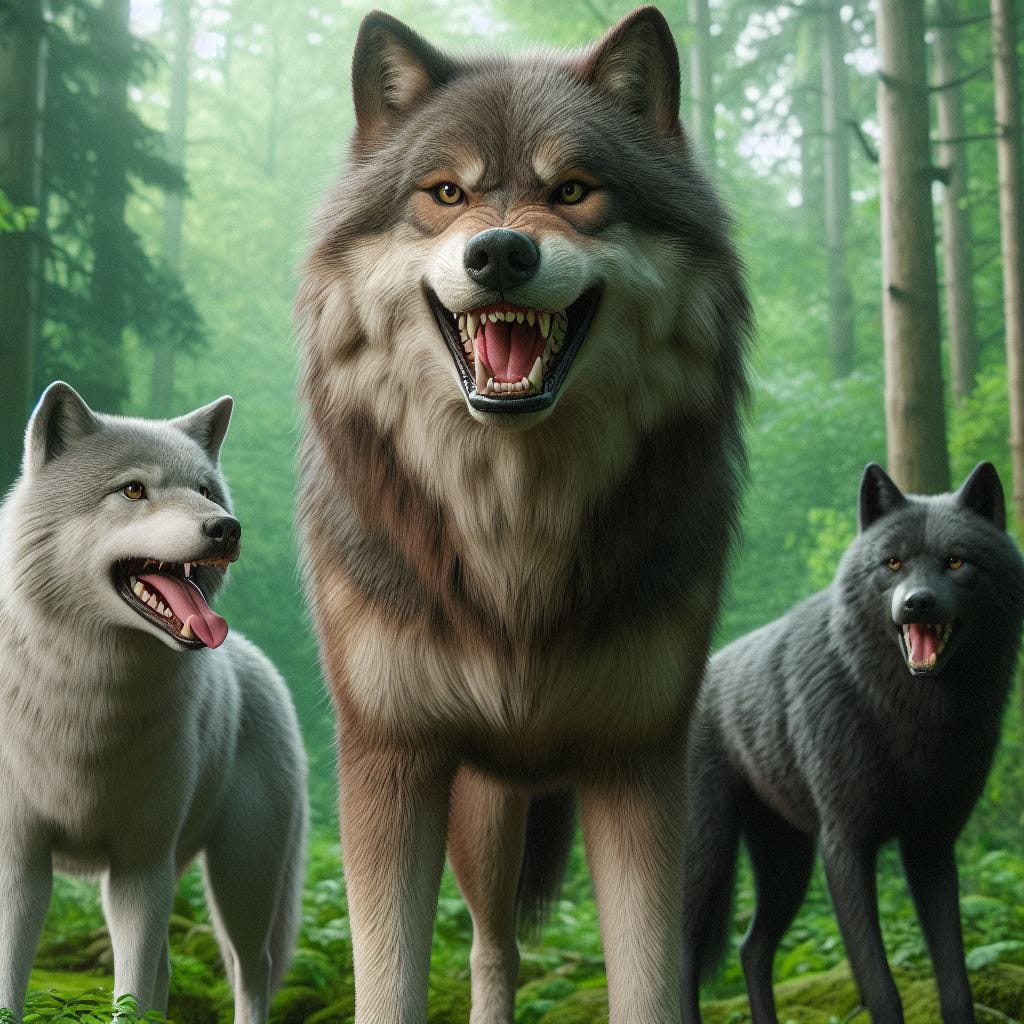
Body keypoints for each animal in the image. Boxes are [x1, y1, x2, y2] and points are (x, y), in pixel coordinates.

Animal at [0, 382, 308, 1024]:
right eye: (134, 490)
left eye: (205, 492)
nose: (227, 528)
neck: (88, 696)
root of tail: (257, 660)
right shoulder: (22, 863)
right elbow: (11, 984)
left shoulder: (139, 866)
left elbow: (132, 993)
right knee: (170, 968)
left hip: (240, 879)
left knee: (253, 970)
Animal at [296, 6, 751, 1023]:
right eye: (447, 193)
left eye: (574, 190)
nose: (500, 251)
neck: (513, 534)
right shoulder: (390, 759)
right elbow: (389, 984)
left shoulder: (639, 763)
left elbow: (651, 984)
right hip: (485, 821)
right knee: (491, 948)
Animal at [680, 463, 1024, 1024]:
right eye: (893, 562)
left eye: (955, 561)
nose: (916, 603)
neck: (909, 718)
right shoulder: (845, 847)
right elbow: (881, 988)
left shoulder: (931, 845)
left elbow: (956, 981)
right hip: (708, 861)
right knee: (682, 956)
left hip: (786, 868)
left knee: (752, 948)